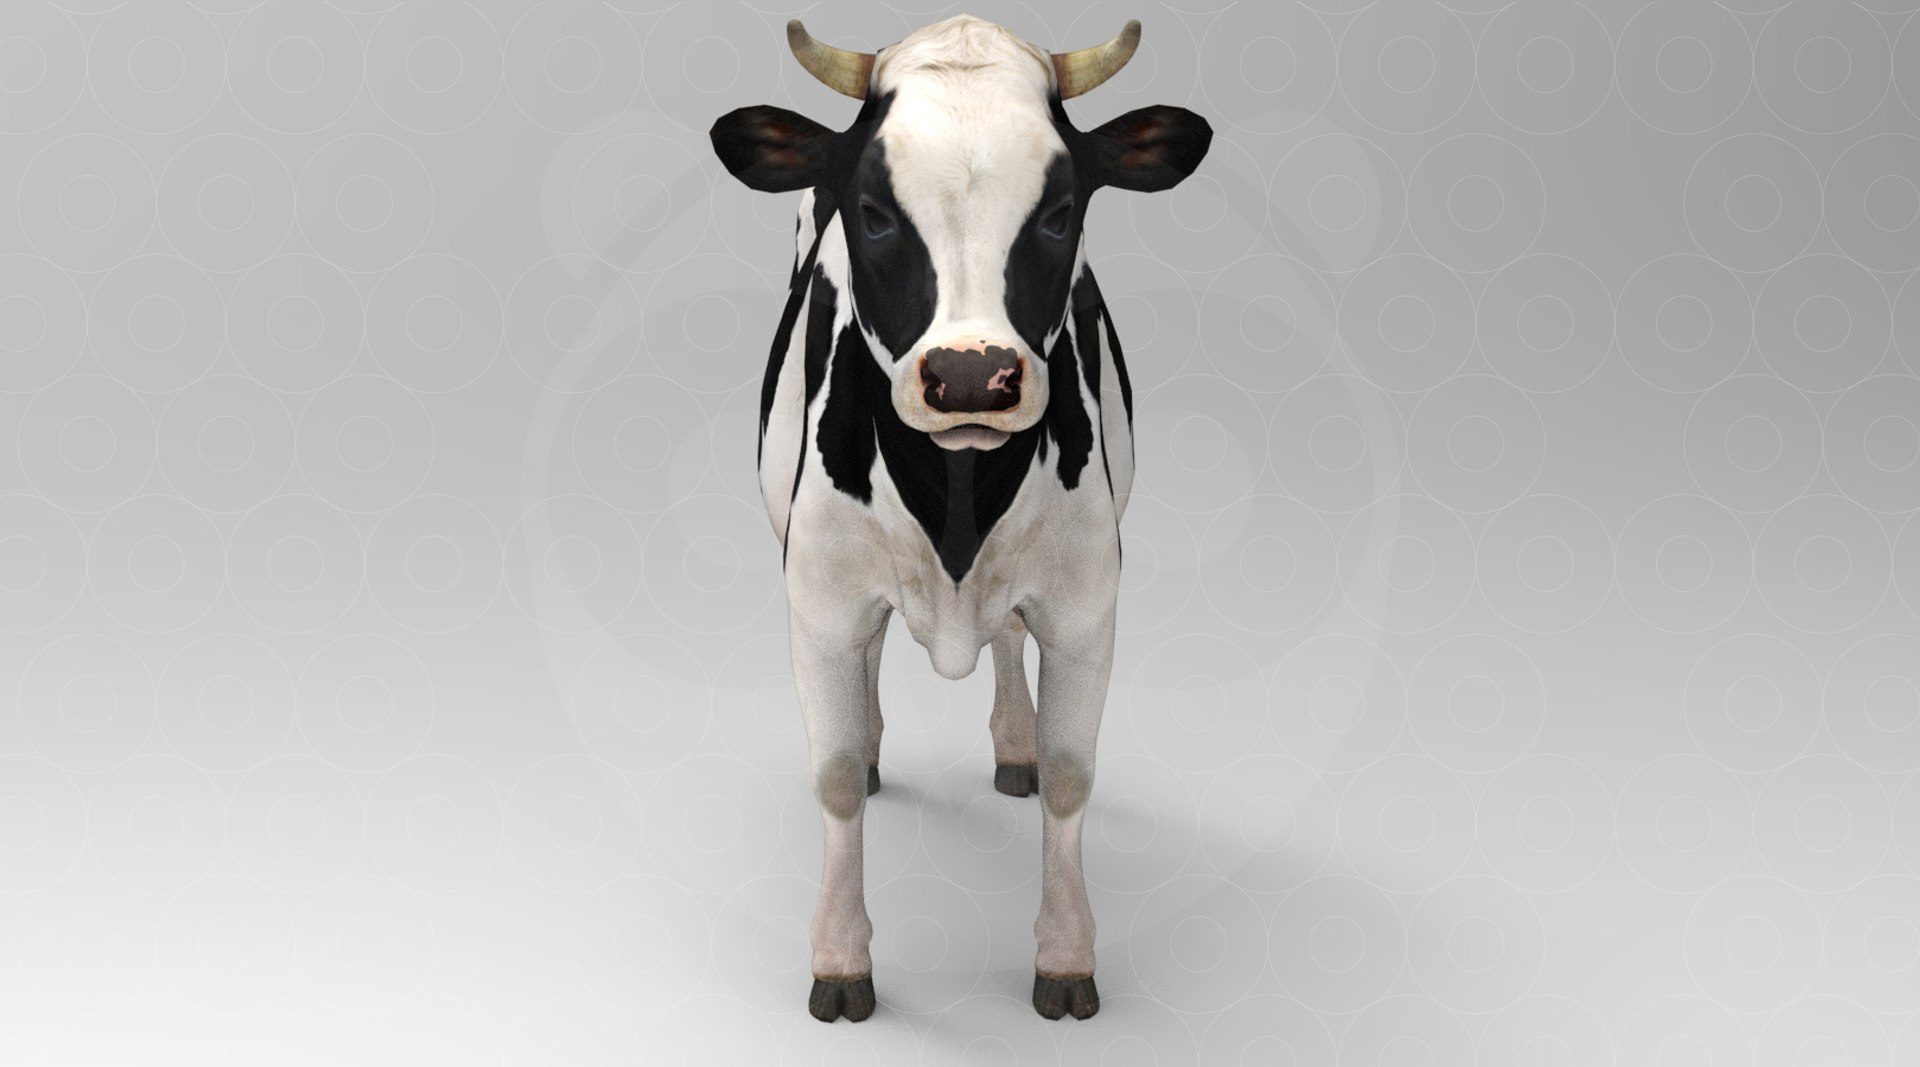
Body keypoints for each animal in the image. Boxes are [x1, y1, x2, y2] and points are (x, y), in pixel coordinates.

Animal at [708, 14, 1210, 1022]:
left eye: (1060, 211)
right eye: (874, 212)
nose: (973, 377)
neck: (957, 494)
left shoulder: (1087, 601)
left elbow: (1071, 774)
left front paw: (1065, 956)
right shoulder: (819, 598)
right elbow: (832, 776)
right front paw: (839, 962)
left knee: (1009, 644)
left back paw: (1011, 745)